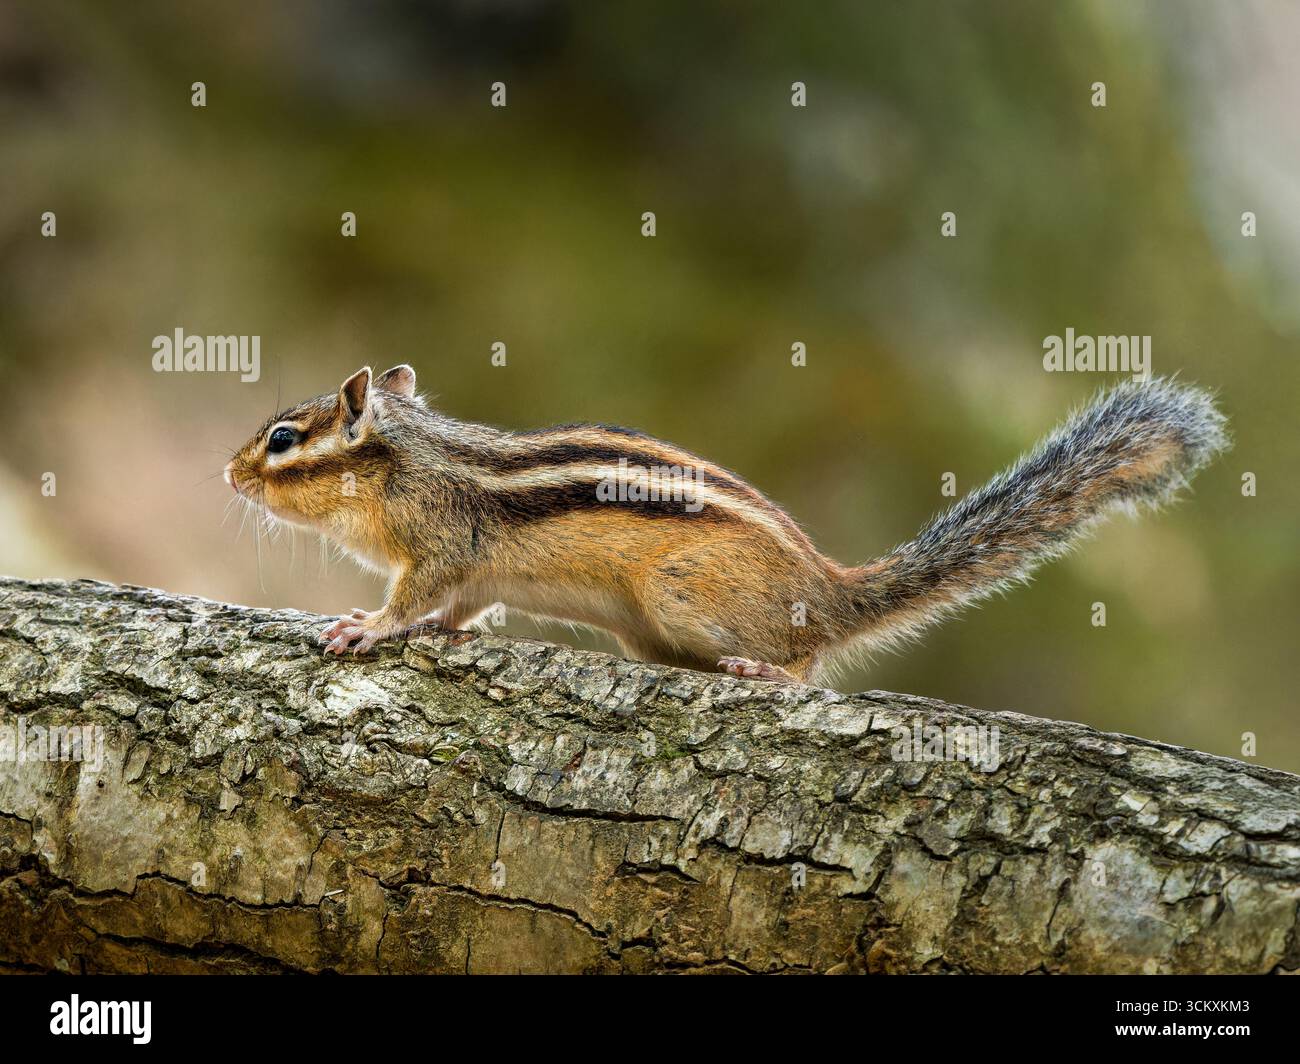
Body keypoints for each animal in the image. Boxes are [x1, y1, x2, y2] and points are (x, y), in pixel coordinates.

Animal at [224, 365, 1228, 685]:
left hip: (683, 594)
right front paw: (429, 629)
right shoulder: (471, 572)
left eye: (281, 439)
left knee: (813, 666)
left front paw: (366, 626)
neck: (405, 463)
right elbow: (463, 610)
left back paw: (770, 673)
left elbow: (414, 600)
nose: (228, 474)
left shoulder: (442, 543)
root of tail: (829, 589)